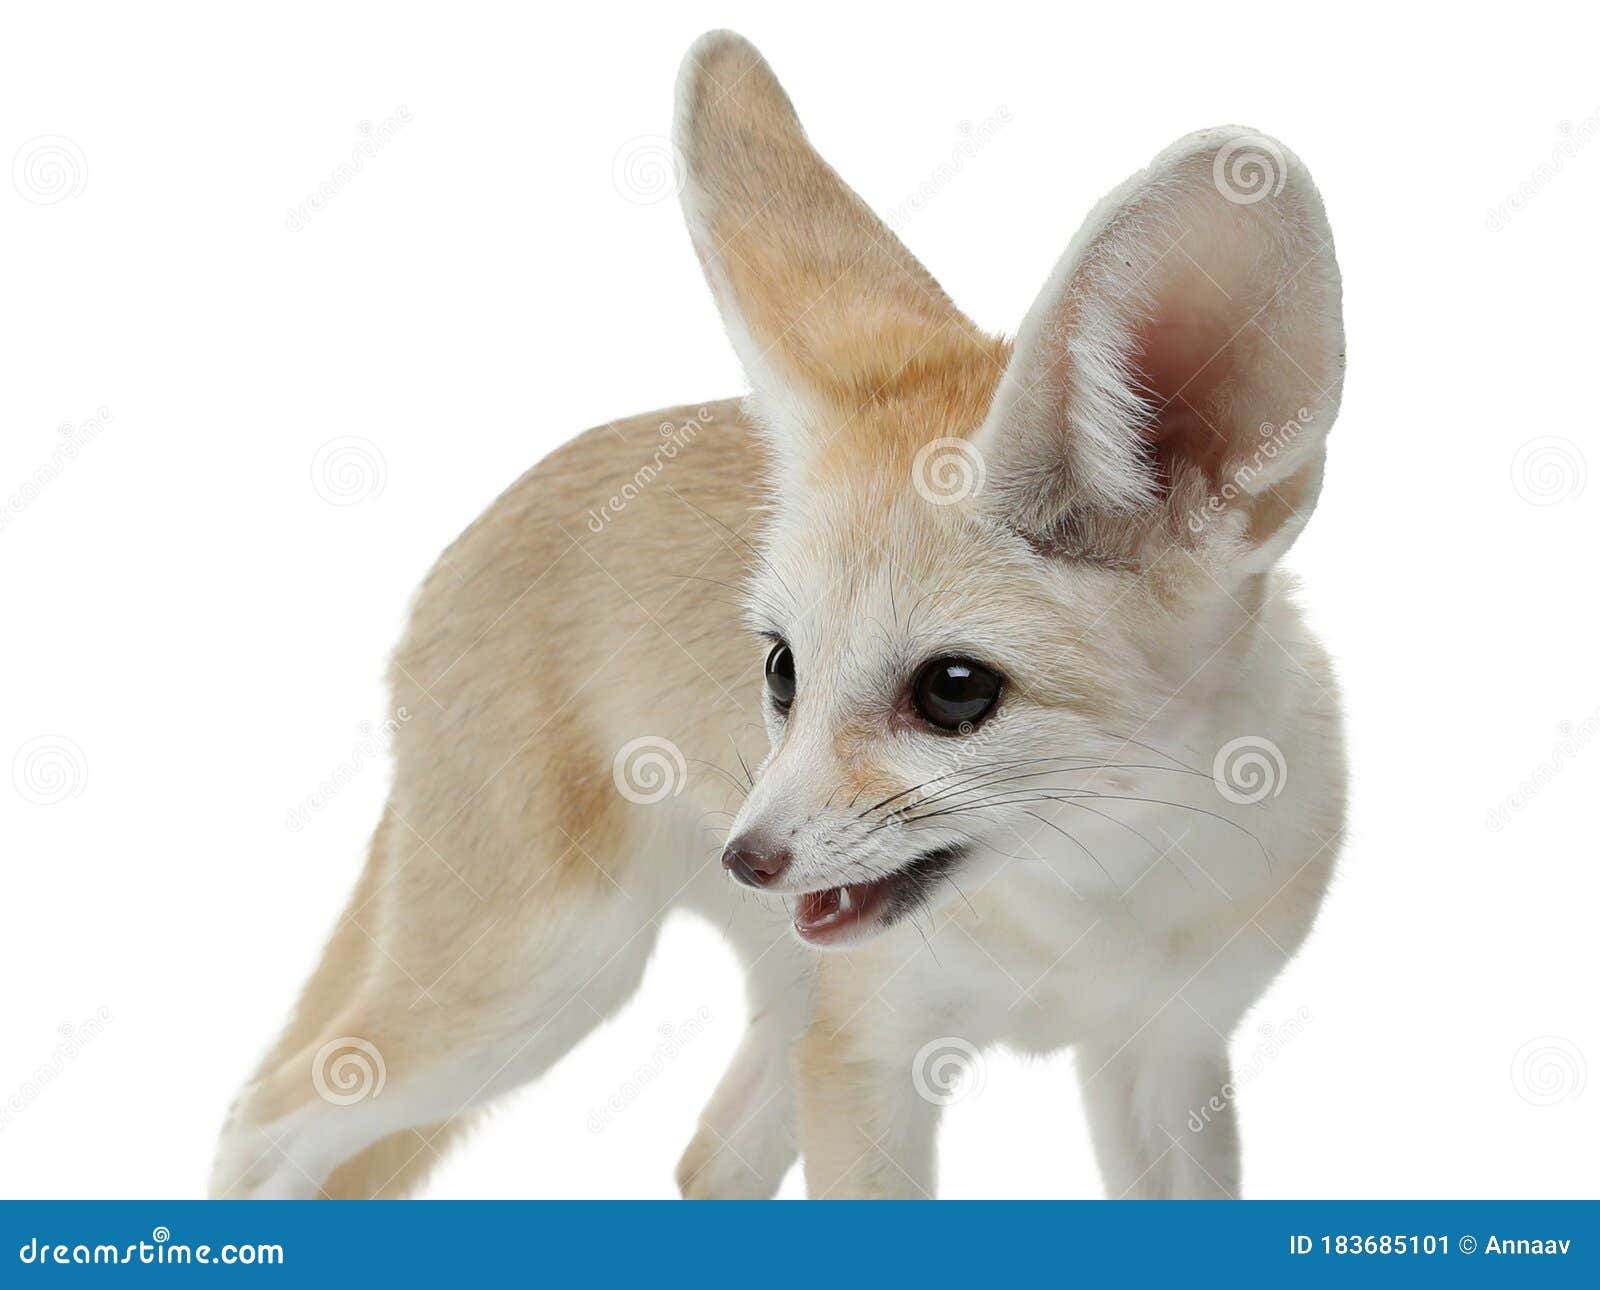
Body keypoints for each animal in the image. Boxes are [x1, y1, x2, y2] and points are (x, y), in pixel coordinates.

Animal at [211, 29, 1345, 1200]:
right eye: (782, 671)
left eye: (954, 692)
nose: (746, 859)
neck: (1093, 898)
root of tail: (466, 541)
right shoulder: (865, 1059)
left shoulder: (1165, 1053)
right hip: (538, 978)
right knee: (263, 1119)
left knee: (704, 1156)